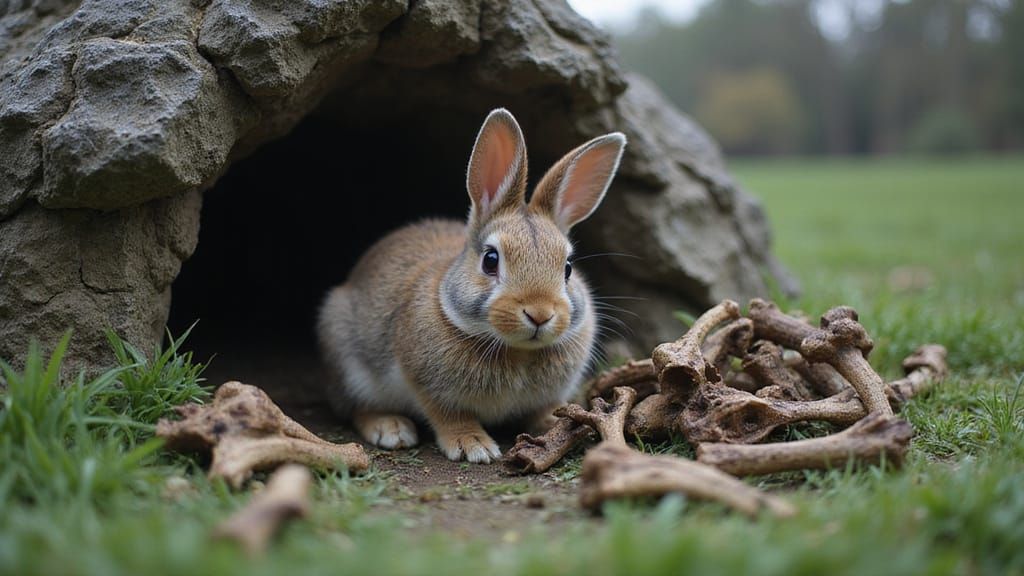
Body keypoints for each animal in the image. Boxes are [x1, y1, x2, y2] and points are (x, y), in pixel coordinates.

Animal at [316, 108, 626, 463]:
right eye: (491, 260)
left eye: (568, 268)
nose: (539, 314)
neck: (517, 350)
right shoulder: (428, 386)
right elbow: (450, 415)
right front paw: (473, 446)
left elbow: (543, 409)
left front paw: (558, 420)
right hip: (345, 356)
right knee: (355, 407)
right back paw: (391, 428)